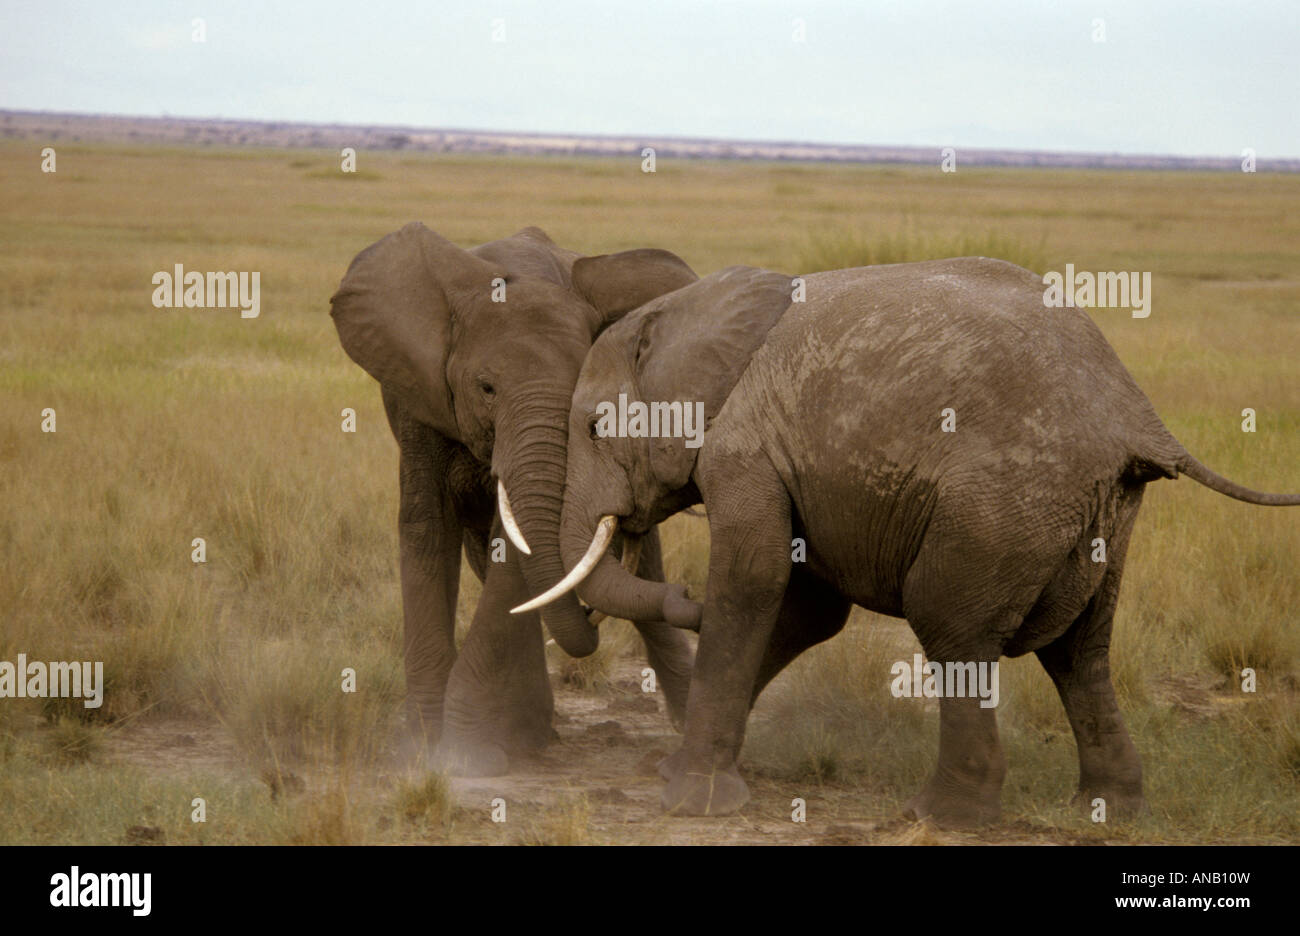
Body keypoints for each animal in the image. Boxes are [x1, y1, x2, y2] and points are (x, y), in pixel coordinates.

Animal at [329, 222, 700, 776]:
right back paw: (534, 732)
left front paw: (466, 755)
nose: (691, 594)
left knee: (640, 563)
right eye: (486, 388)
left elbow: (517, 548)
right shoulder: (417, 397)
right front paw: (423, 748)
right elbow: (426, 528)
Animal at [521, 258, 1300, 823]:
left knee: (952, 624)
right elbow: (805, 610)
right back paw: (1107, 809)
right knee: (1079, 650)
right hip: (1099, 514)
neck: (693, 309)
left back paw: (940, 815)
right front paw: (675, 770)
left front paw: (690, 800)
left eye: (594, 427)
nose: (682, 591)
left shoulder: (745, 452)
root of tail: (1137, 420)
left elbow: (754, 583)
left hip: (1000, 507)